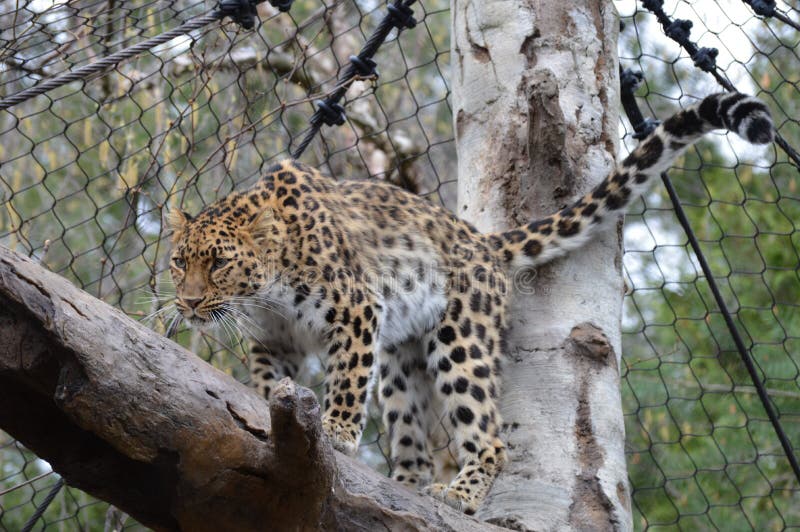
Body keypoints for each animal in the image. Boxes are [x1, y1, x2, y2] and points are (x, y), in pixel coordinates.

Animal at [166, 92, 773, 514]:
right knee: (412, 438)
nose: (189, 304)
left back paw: (459, 494)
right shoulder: (273, 340)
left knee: (489, 437)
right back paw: (404, 486)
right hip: (400, 358)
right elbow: (272, 382)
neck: (265, 289)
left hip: (458, 338)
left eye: (218, 263)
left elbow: (346, 380)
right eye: (178, 262)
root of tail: (481, 242)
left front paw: (335, 433)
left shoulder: (358, 309)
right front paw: (268, 409)